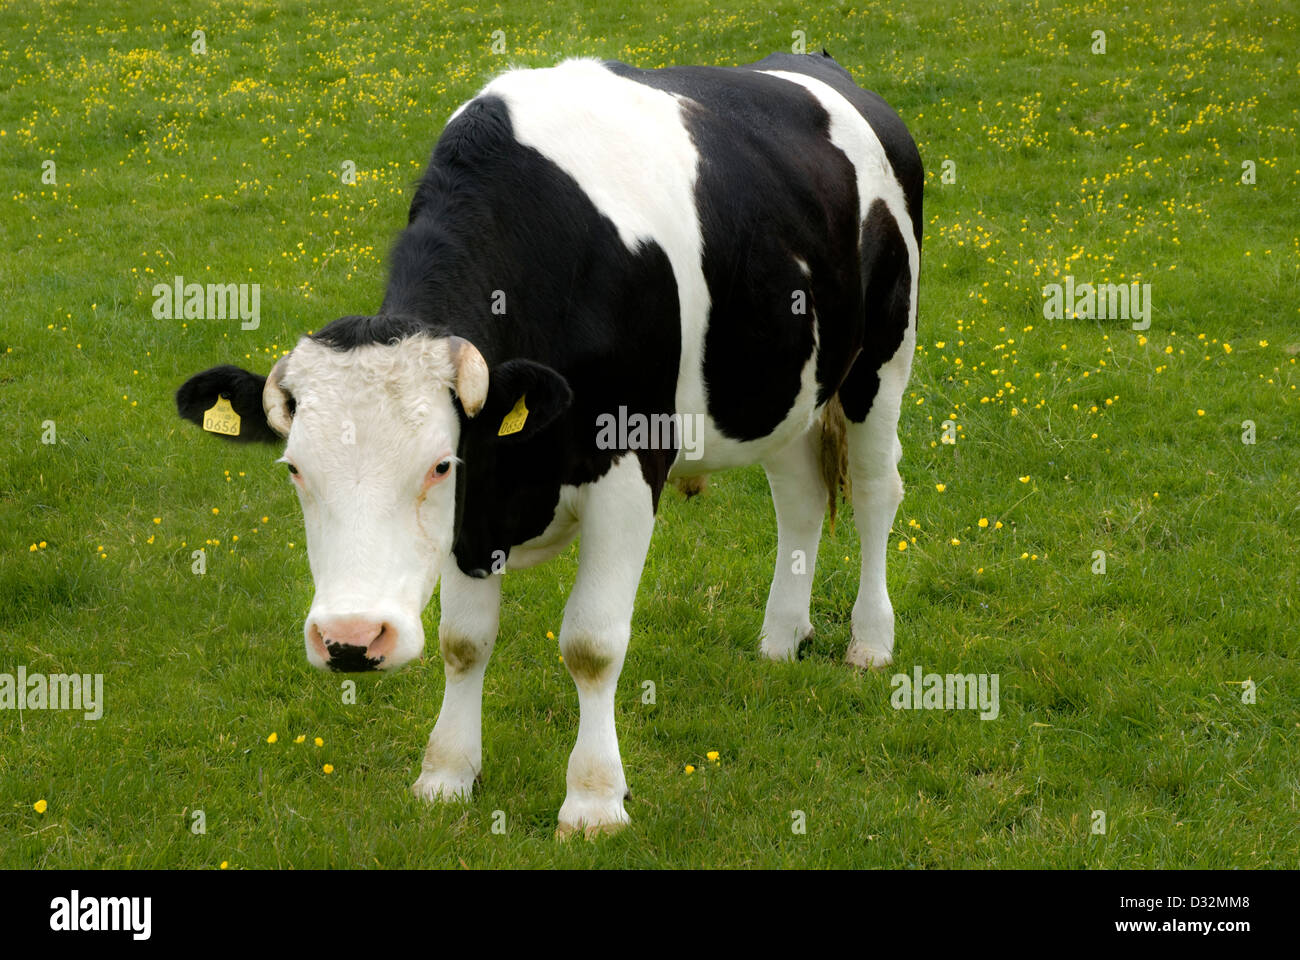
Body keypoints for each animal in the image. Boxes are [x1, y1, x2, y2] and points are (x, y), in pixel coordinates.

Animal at [175, 52, 922, 838]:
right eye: (294, 469)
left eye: (438, 464)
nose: (352, 638)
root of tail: (812, 61)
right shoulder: (478, 510)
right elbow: (463, 640)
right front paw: (447, 774)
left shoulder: (627, 463)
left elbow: (592, 644)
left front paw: (593, 801)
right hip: (790, 384)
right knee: (800, 500)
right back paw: (781, 639)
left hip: (882, 359)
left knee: (876, 493)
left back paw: (870, 642)